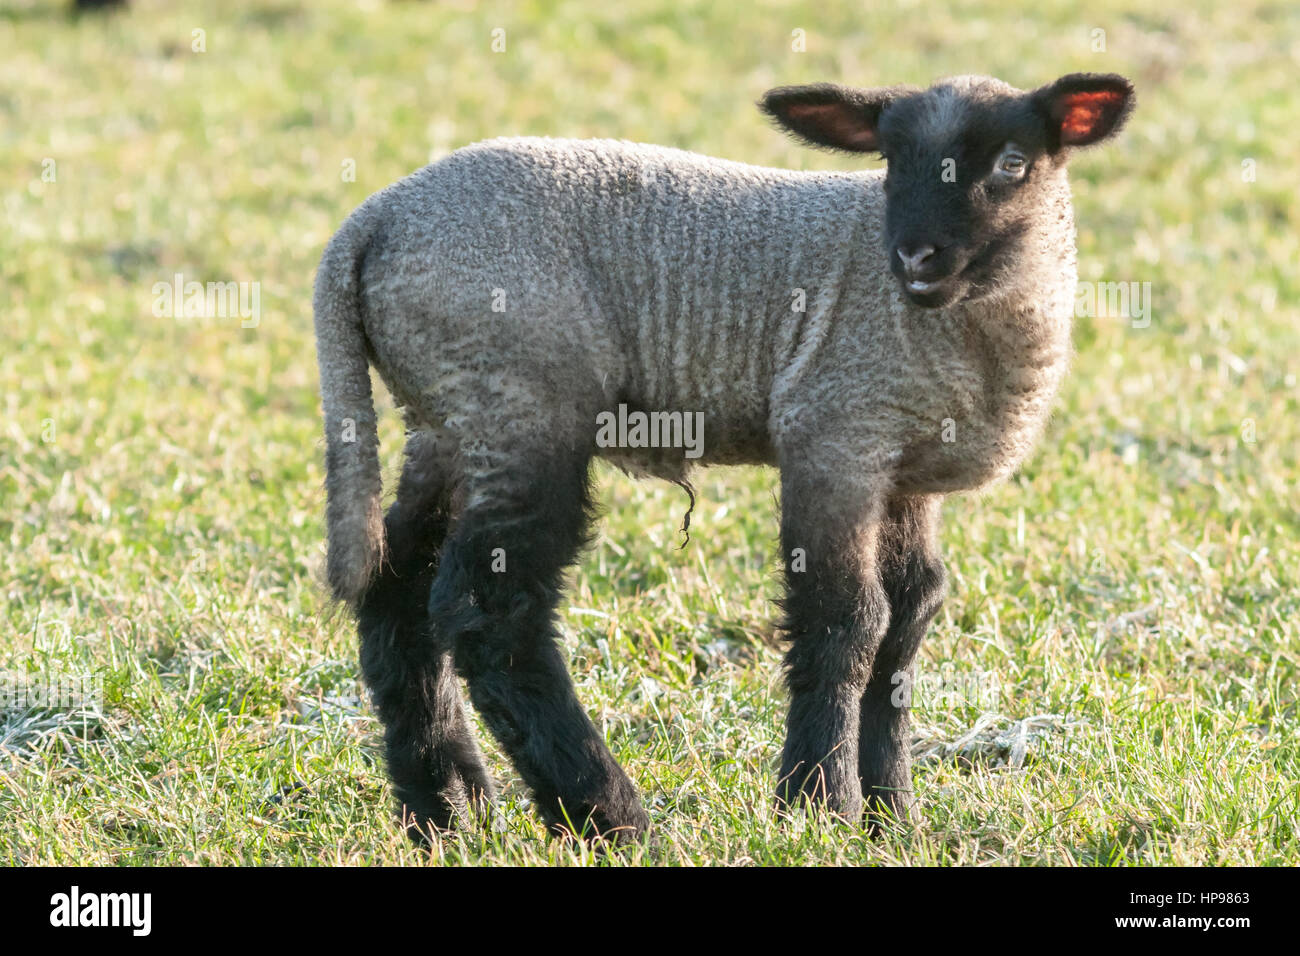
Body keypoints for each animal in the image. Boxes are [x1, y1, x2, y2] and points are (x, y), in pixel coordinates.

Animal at [313, 72, 1135, 843]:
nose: (916, 256)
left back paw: (448, 810)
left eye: (1012, 163)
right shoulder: (834, 433)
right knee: (490, 613)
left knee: (396, 585)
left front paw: (894, 815)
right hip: (519, 405)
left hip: (449, 420)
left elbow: (909, 617)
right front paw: (817, 808)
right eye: (890, 161)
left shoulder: (904, 473)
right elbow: (846, 621)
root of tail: (371, 221)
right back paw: (608, 816)